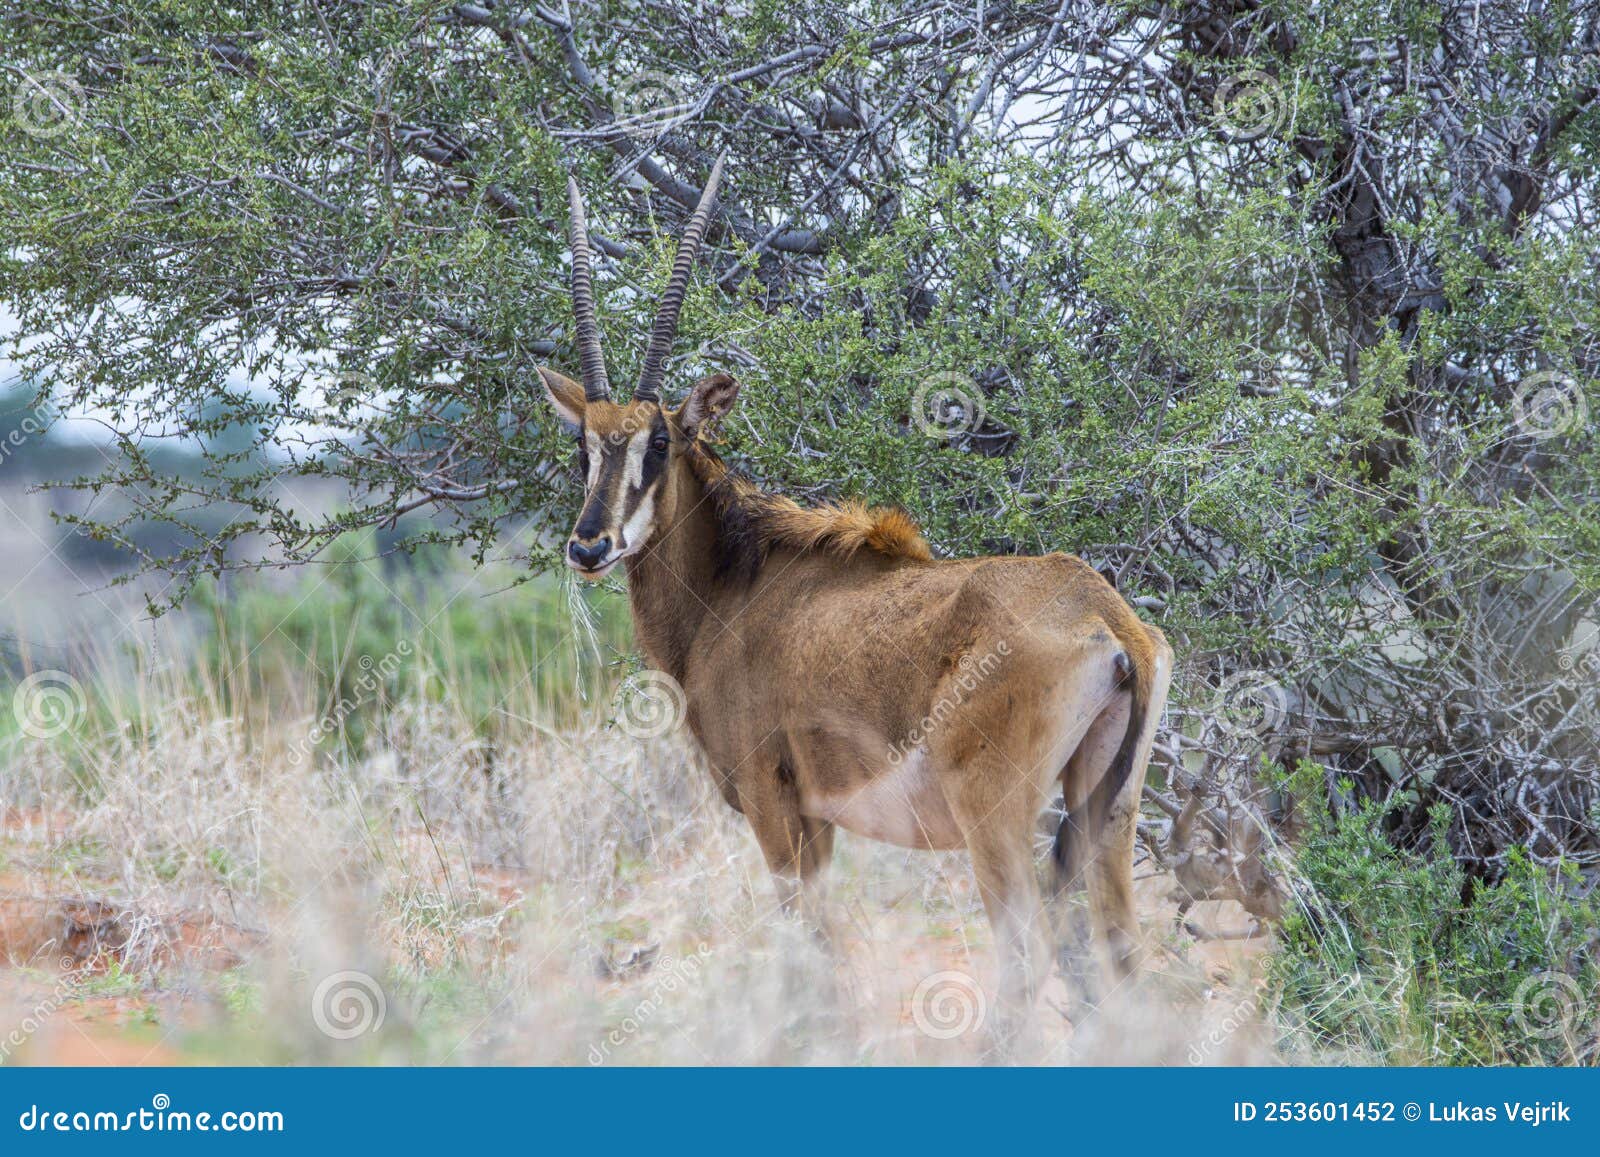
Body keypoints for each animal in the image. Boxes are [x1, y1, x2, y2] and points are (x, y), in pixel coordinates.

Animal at [537, 157, 1173, 1034]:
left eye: (660, 441)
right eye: (585, 444)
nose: (590, 545)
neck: (736, 582)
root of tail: (1104, 617)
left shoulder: (777, 810)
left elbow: (811, 959)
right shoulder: (822, 823)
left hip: (997, 822)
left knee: (1028, 951)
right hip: (1107, 811)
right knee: (1118, 956)